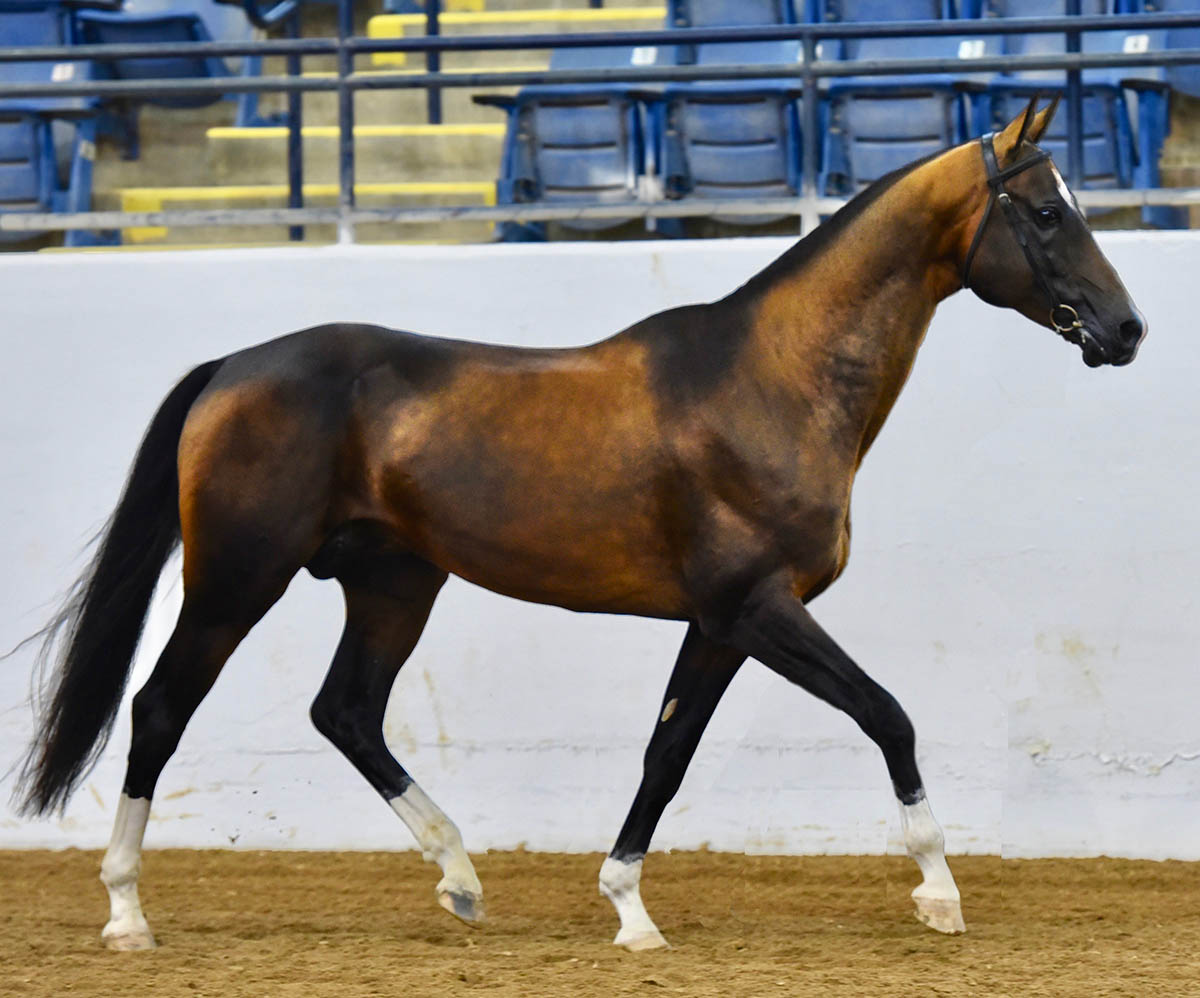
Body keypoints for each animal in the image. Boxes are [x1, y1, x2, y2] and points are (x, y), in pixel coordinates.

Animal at [15, 96, 1145, 952]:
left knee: (346, 712)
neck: (769, 382)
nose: (1127, 329)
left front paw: (630, 910)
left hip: (393, 584)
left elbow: (667, 753)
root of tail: (232, 368)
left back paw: (461, 877)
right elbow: (887, 714)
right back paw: (126, 911)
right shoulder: (761, 608)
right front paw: (940, 894)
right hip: (234, 582)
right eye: (1046, 212)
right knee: (161, 707)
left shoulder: (720, 625)